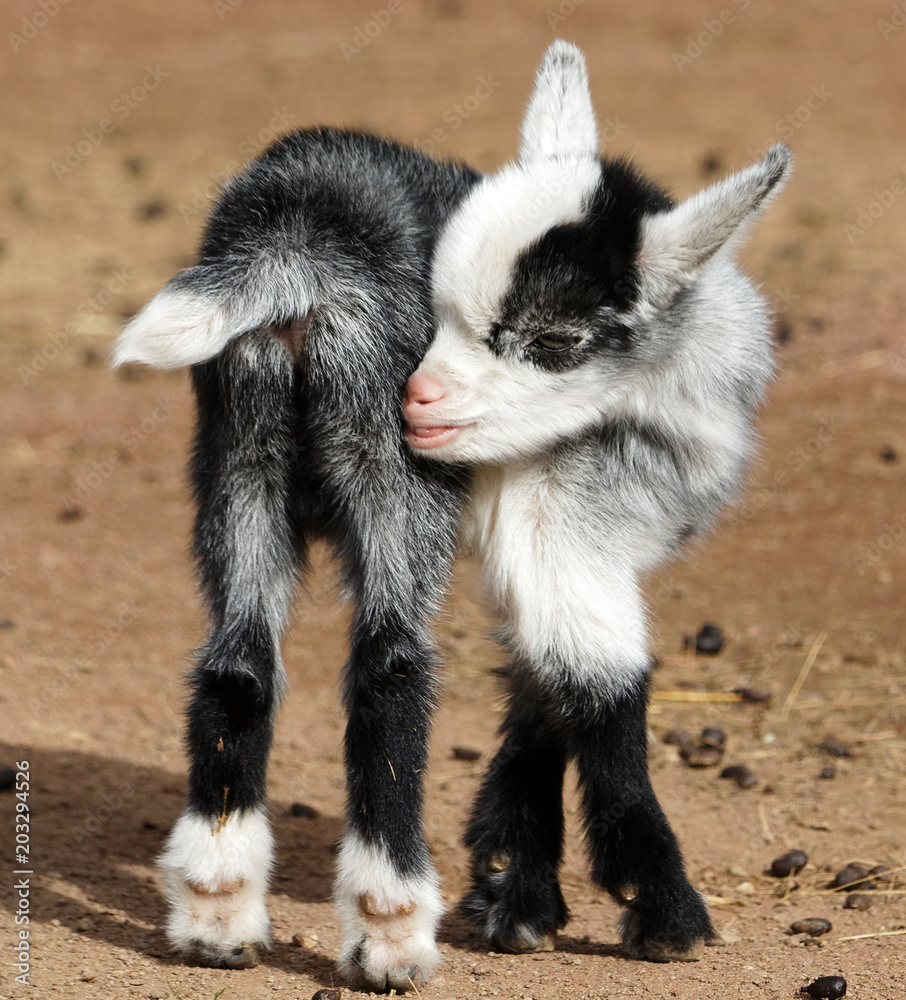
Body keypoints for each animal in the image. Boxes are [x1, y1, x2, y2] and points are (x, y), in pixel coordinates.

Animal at [113, 40, 791, 993]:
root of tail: (297, 237)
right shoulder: (565, 518)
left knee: (238, 665)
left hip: (240, 452)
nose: (424, 396)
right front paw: (659, 911)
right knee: (390, 670)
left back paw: (217, 914)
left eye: (553, 342)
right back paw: (391, 929)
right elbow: (597, 675)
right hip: (397, 480)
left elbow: (541, 679)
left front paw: (514, 883)